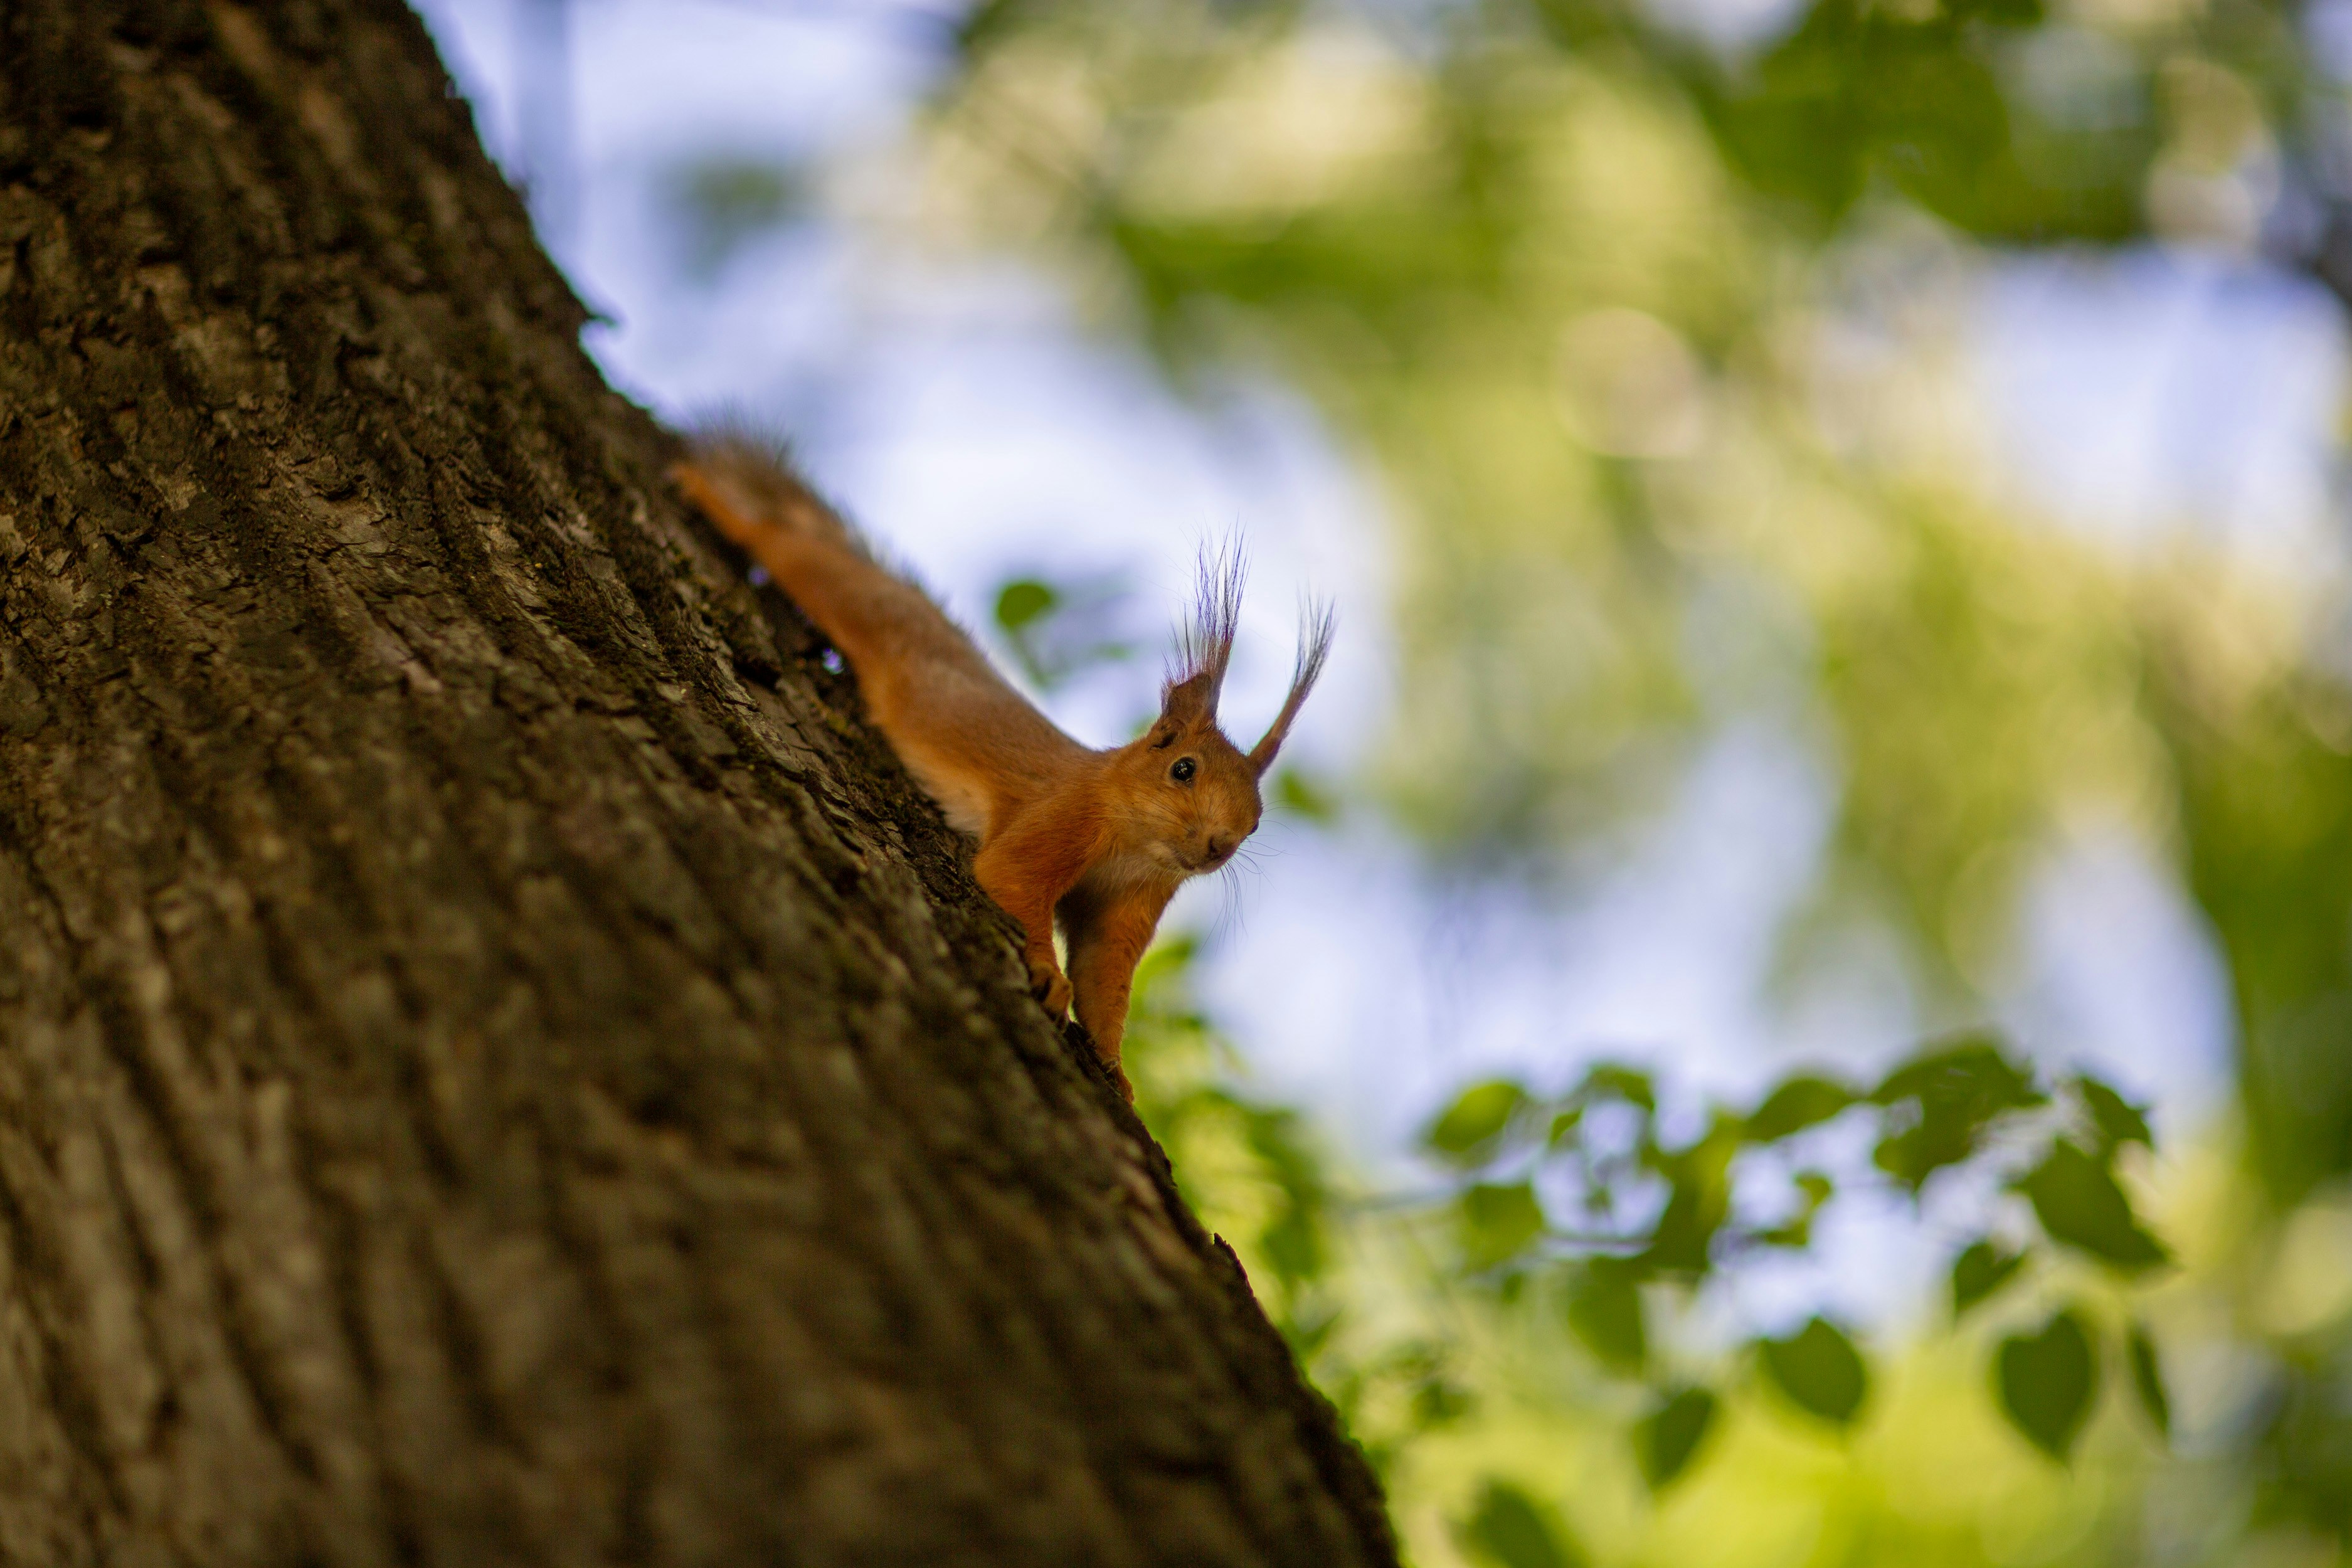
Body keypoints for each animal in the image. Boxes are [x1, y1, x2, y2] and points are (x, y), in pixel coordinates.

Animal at [672, 434, 1332, 1094]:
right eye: (1184, 769)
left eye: (1256, 822)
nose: (1219, 846)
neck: (1133, 843)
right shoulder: (1063, 815)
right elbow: (1011, 879)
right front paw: (1047, 975)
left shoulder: (1132, 905)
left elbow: (1104, 983)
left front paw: (1116, 1071)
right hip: (844, 595)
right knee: (781, 542)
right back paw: (704, 492)